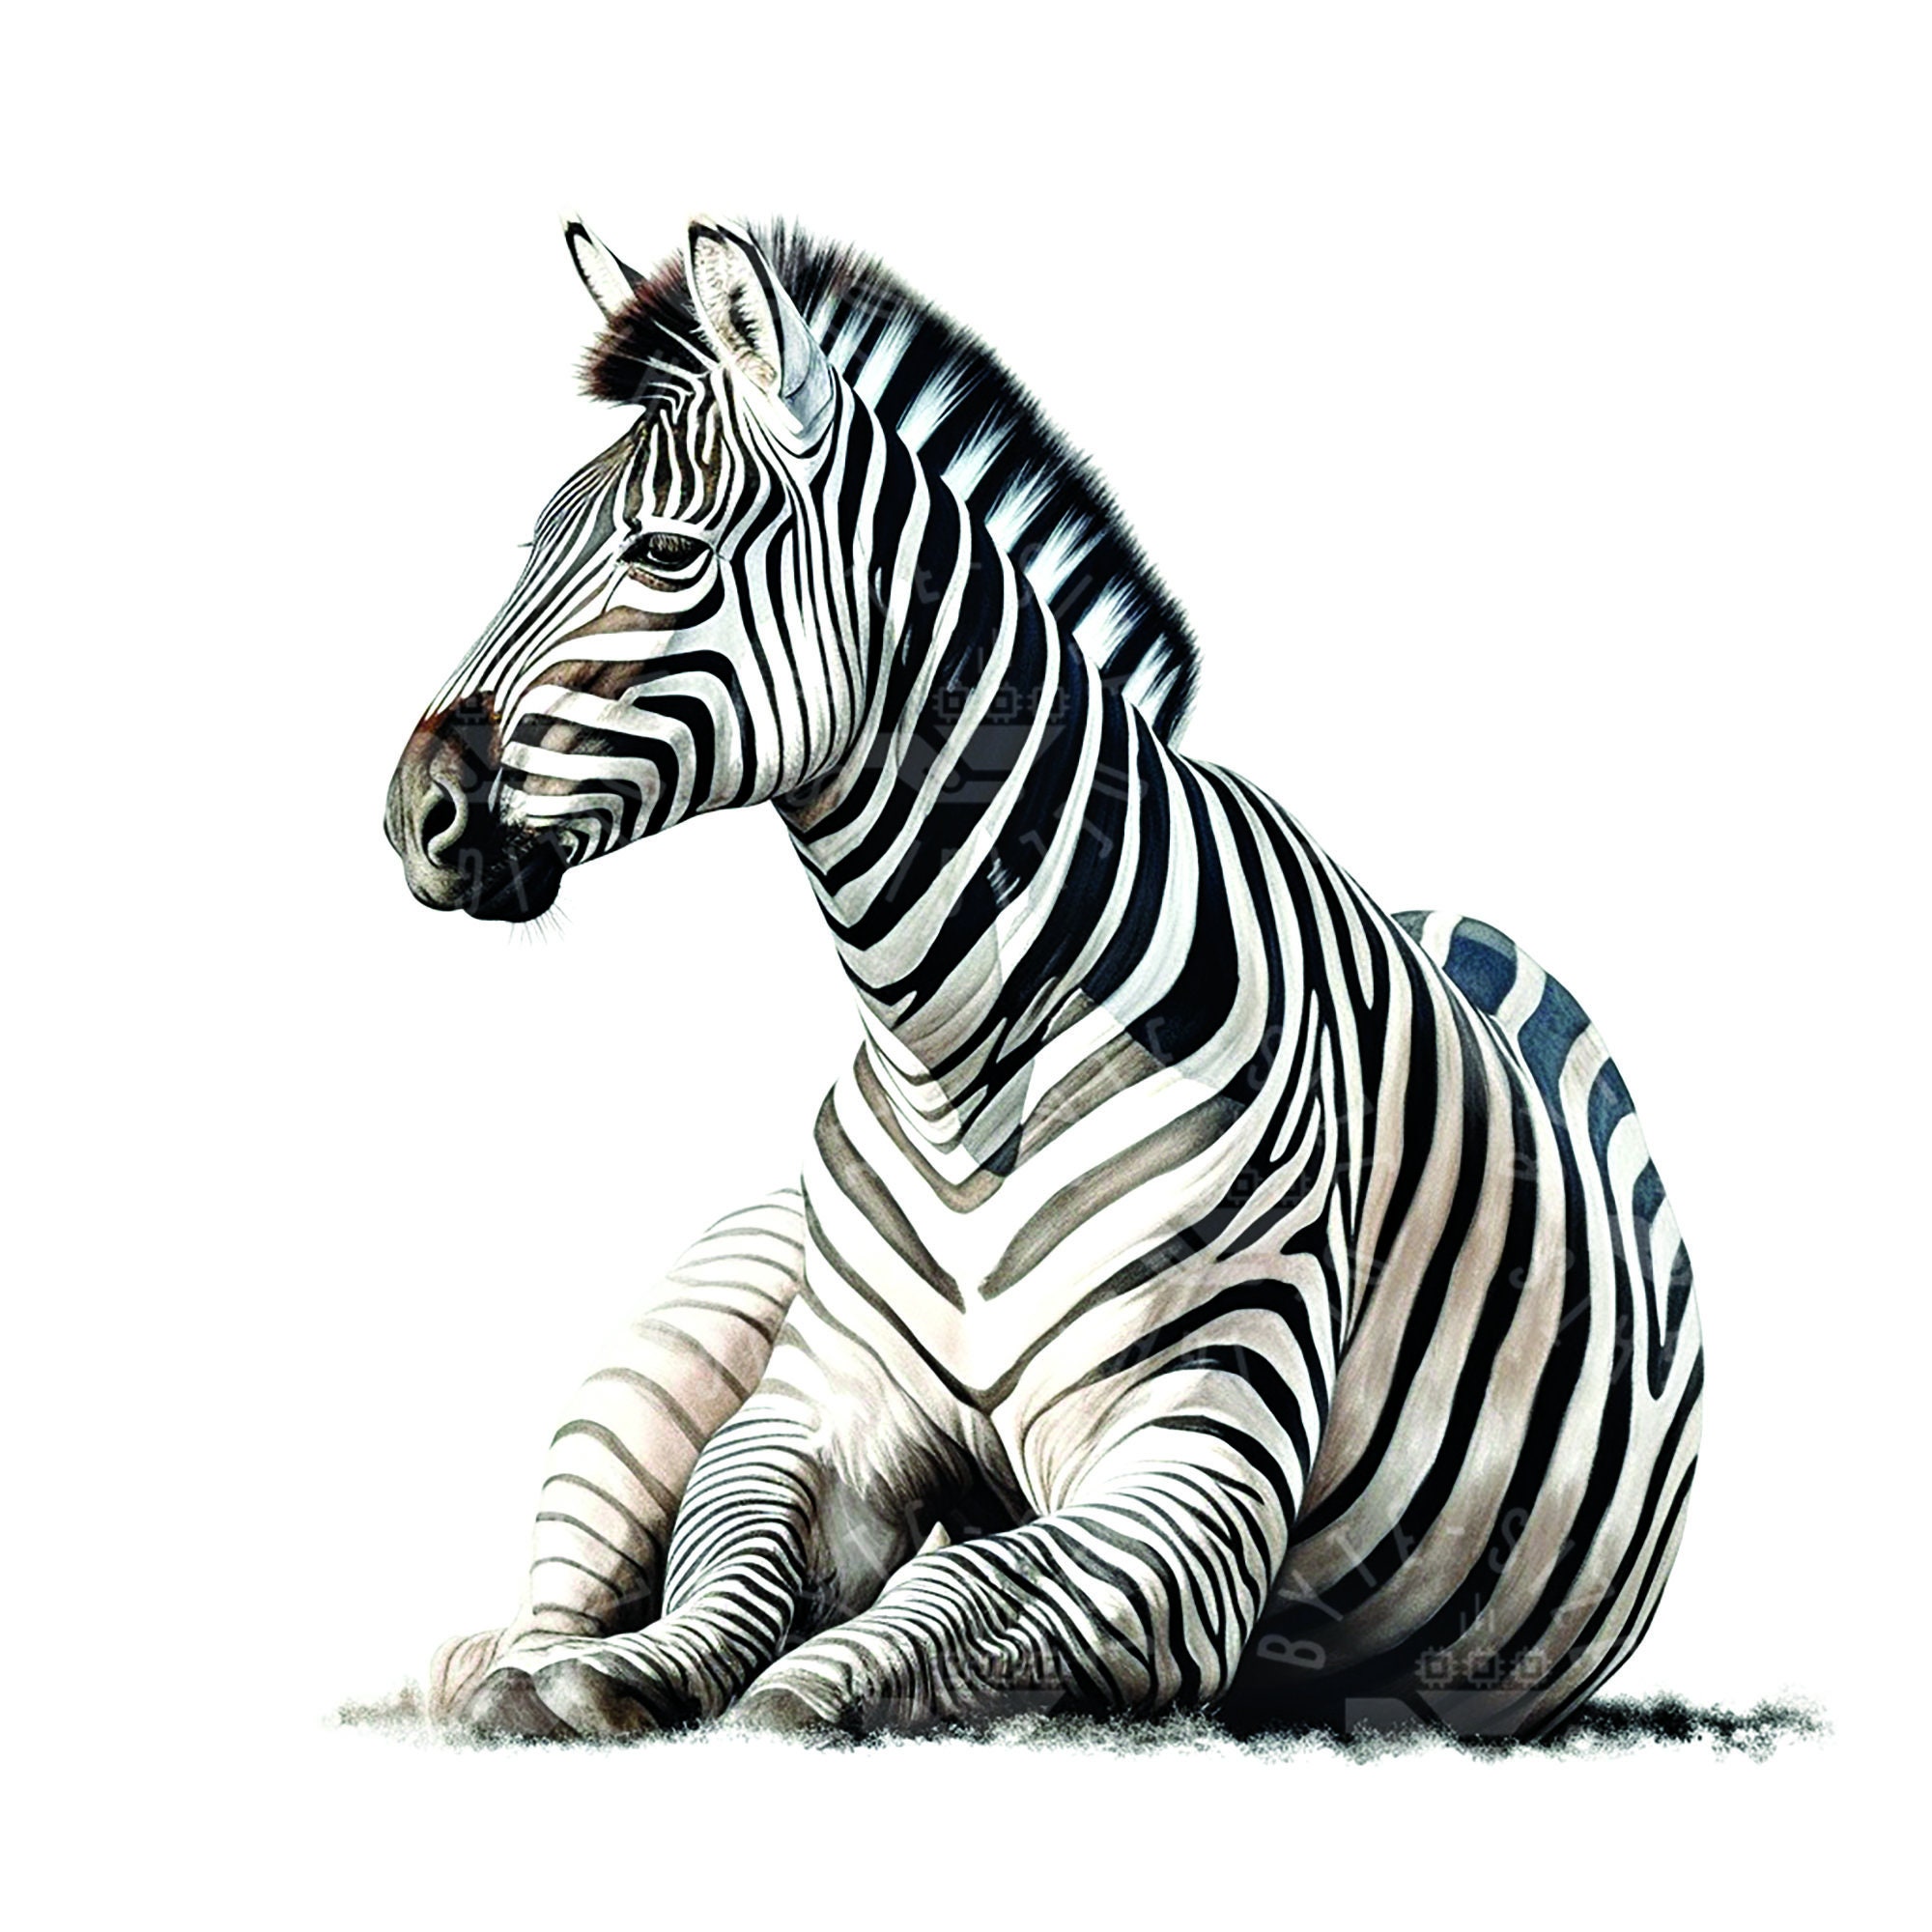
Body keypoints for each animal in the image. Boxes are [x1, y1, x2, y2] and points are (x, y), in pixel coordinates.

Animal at [385, 215, 1703, 1741]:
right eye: (531, 543)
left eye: (666, 552)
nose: (411, 812)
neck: (960, 1053)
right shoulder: (814, 1407)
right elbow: (722, 1558)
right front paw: (616, 1673)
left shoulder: (1194, 1465)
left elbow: (957, 1592)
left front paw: (801, 1693)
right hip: (706, 1308)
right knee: (570, 1559)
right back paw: (501, 1660)